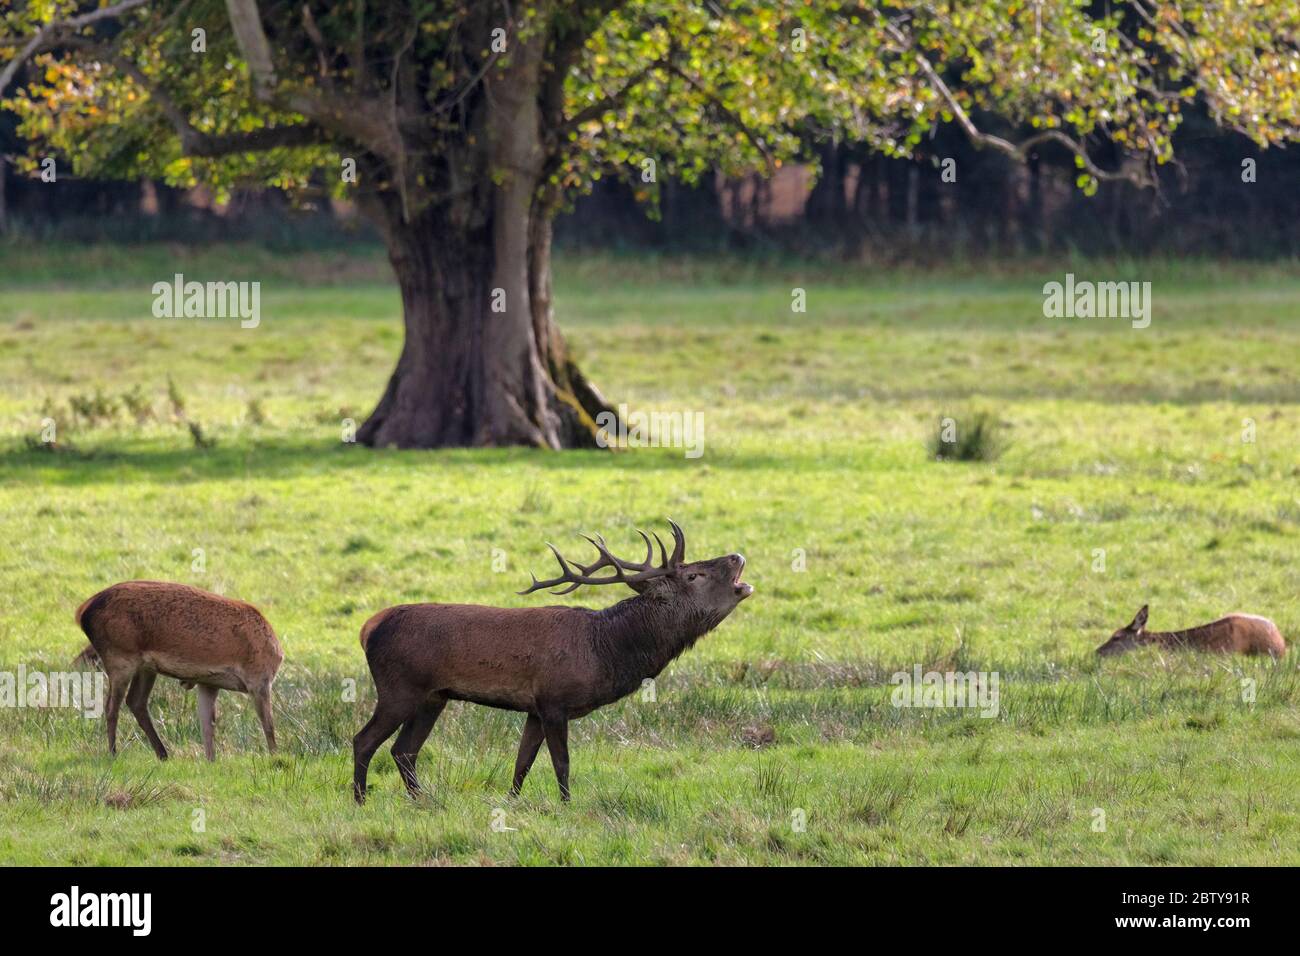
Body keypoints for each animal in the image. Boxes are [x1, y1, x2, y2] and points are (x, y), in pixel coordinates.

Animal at [74, 581, 283, 760]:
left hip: (145, 667)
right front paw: (275, 758)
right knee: (111, 706)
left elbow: (207, 725)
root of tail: (83, 612)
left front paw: (211, 761)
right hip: (120, 656)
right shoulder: (259, 678)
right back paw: (113, 753)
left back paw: (162, 754)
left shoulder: (208, 682)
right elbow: (269, 724)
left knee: (135, 701)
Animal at [352, 520, 752, 804]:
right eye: (693, 575)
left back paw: (426, 801)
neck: (607, 650)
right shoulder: (555, 700)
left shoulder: (534, 708)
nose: (736, 555)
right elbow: (562, 762)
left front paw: (512, 802)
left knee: (404, 750)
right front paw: (566, 805)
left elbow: (522, 762)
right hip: (399, 688)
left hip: (433, 697)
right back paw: (359, 801)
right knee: (364, 740)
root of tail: (367, 628)